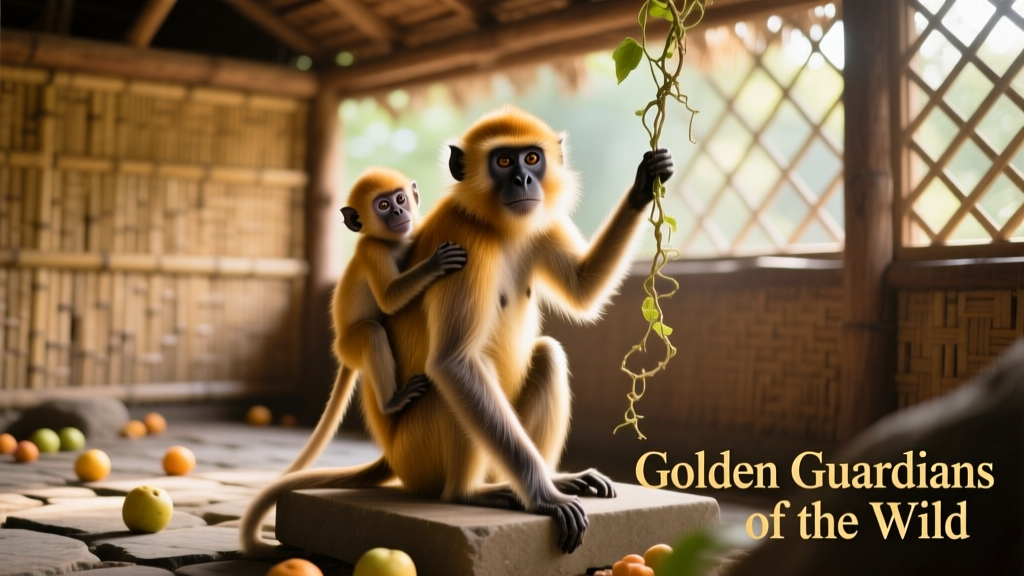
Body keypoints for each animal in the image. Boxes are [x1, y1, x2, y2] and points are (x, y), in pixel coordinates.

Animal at [281, 167, 466, 475]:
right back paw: (391, 402)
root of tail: (341, 350)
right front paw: (435, 263)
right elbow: (389, 300)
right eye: (383, 205)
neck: (395, 243)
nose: (398, 212)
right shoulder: (372, 250)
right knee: (371, 332)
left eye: (400, 199)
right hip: (350, 345)